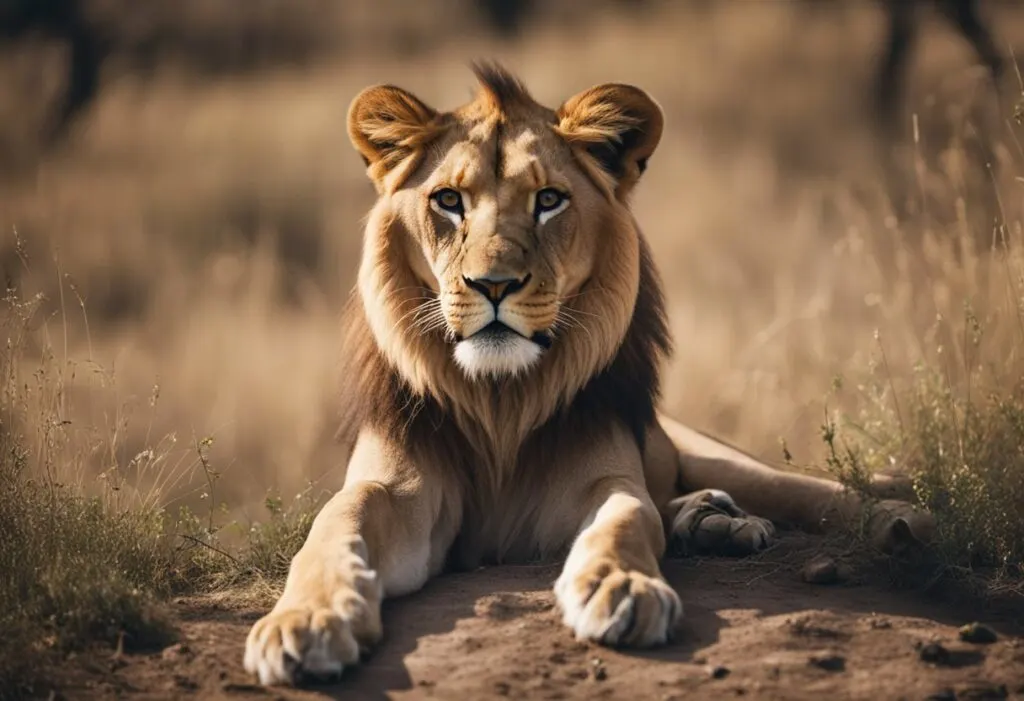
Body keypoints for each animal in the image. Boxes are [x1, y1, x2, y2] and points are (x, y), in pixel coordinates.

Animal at [243, 64, 934, 686]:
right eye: (448, 201)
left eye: (548, 201)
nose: (493, 284)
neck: (500, 401)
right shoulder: (397, 488)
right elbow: (336, 523)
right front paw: (304, 620)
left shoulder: (601, 478)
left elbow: (627, 515)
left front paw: (621, 586)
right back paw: (710, 519)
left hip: (711, 452)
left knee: (804, 490)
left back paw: (897, 524)